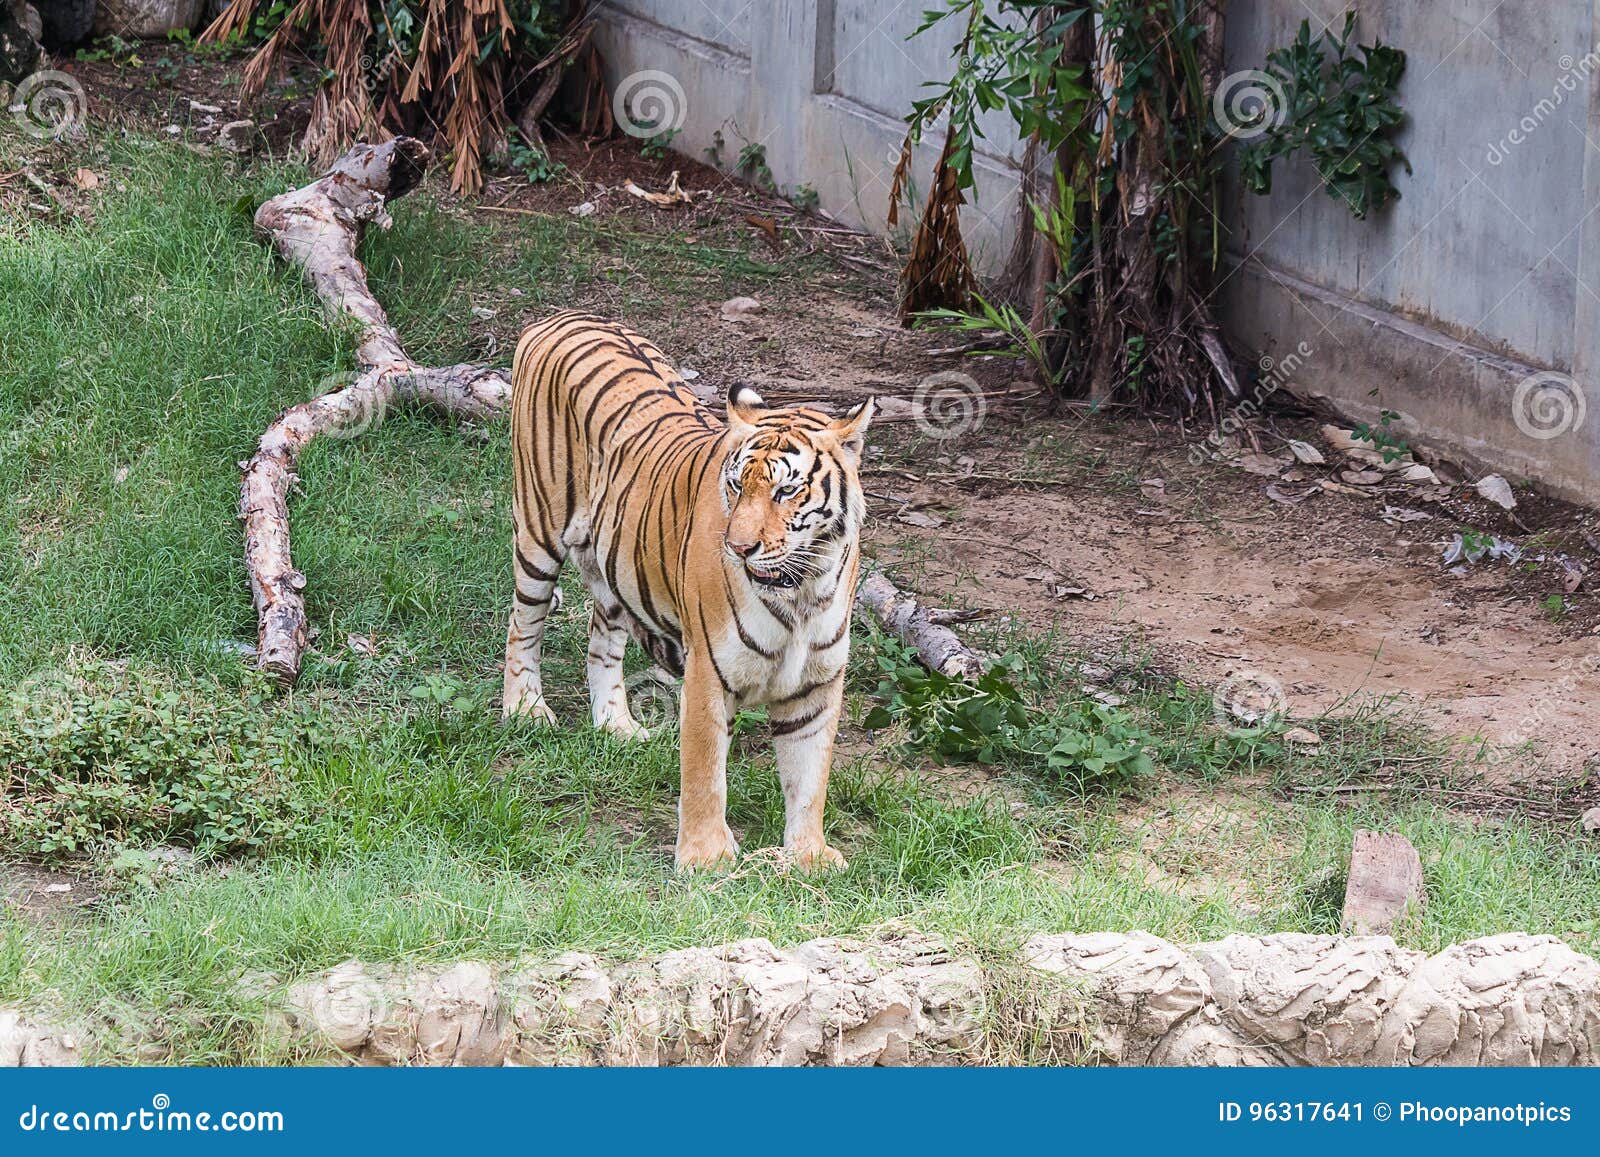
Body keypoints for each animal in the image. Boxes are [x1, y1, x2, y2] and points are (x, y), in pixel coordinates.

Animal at [502, 310, 874, 872]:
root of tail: (558, 316)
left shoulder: (818, 683)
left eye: (787, 491)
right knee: (523, 622)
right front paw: (706, 858)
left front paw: (808, 855)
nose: (740, 547)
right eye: (738, 485)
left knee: (601, 640)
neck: (802, 590)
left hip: (617, 566)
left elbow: (810, 778)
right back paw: (524, 709)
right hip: (539, 531)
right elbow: (703, 771)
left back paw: (616, 725)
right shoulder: (708, 672)